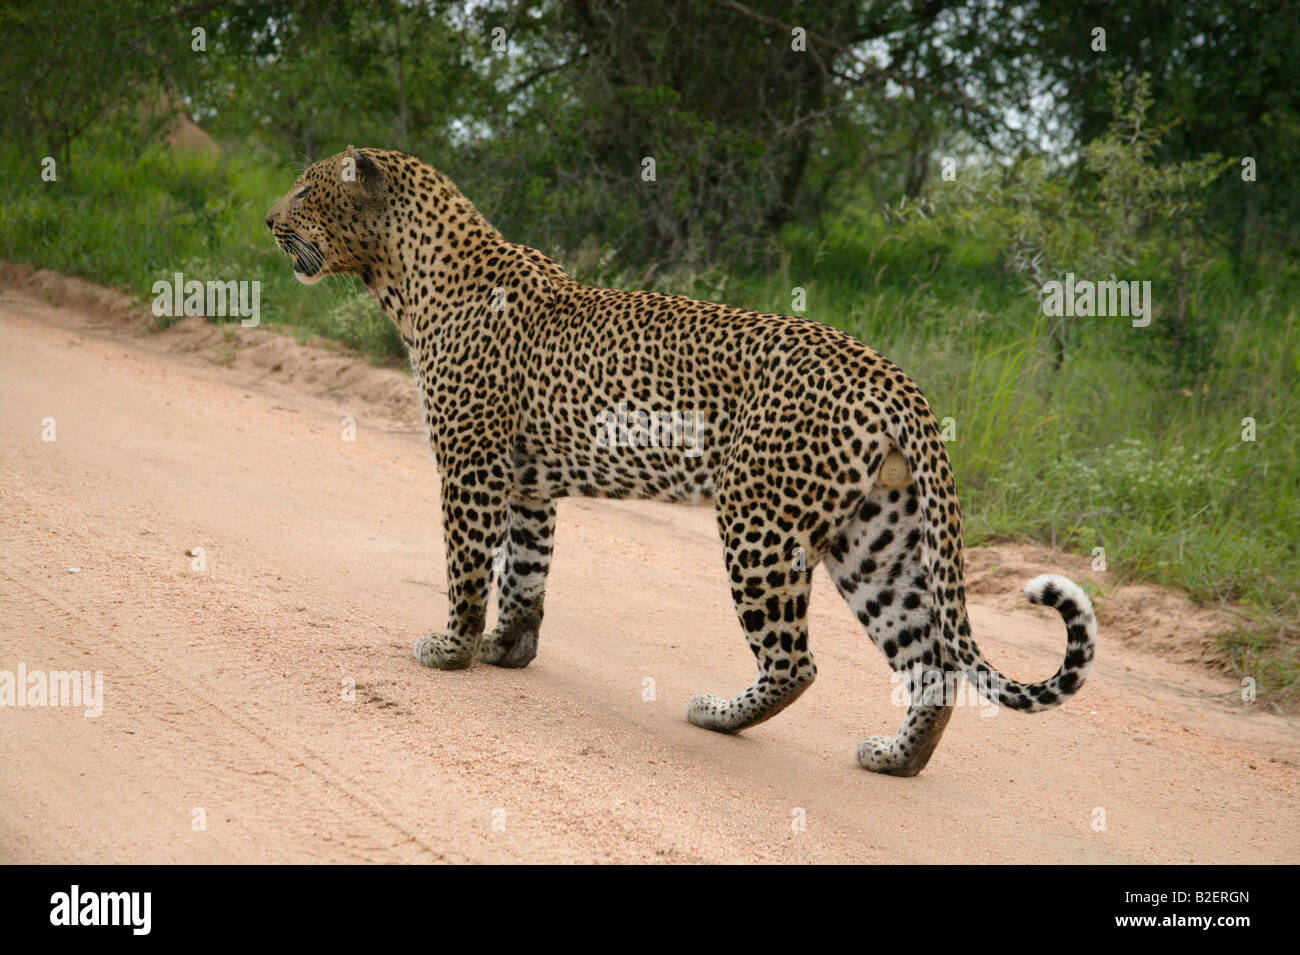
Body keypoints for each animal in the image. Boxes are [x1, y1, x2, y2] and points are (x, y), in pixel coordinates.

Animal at [265, 146, 1097, 776]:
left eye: (306, 188)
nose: (269, 221)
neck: (404, 279)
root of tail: (894, 377)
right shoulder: (529, 484)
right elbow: (526, 571)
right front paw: (508, 649)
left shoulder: (471, 464)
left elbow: (469, 563)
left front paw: (451, 647)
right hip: (874, 538)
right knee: (931, 661)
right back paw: (895, 758)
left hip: (760, 521)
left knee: (797, 661)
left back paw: (718, 715)